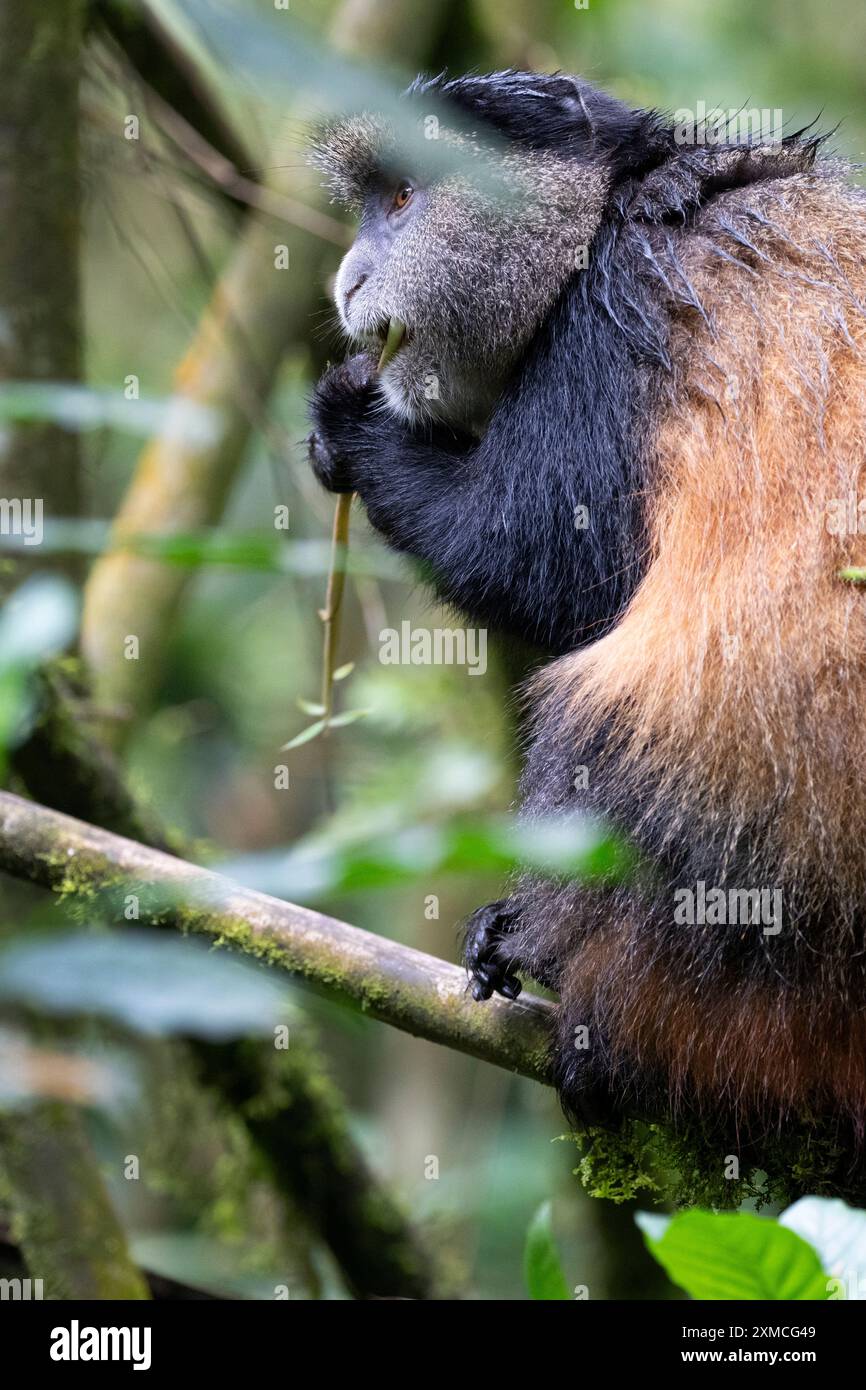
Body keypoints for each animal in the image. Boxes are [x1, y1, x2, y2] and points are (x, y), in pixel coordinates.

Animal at [306, 70, 866, 1168]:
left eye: (401, 198)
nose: (346, 282)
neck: (609, 203)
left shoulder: (606, 322)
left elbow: (536, 556)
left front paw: (347, 422)